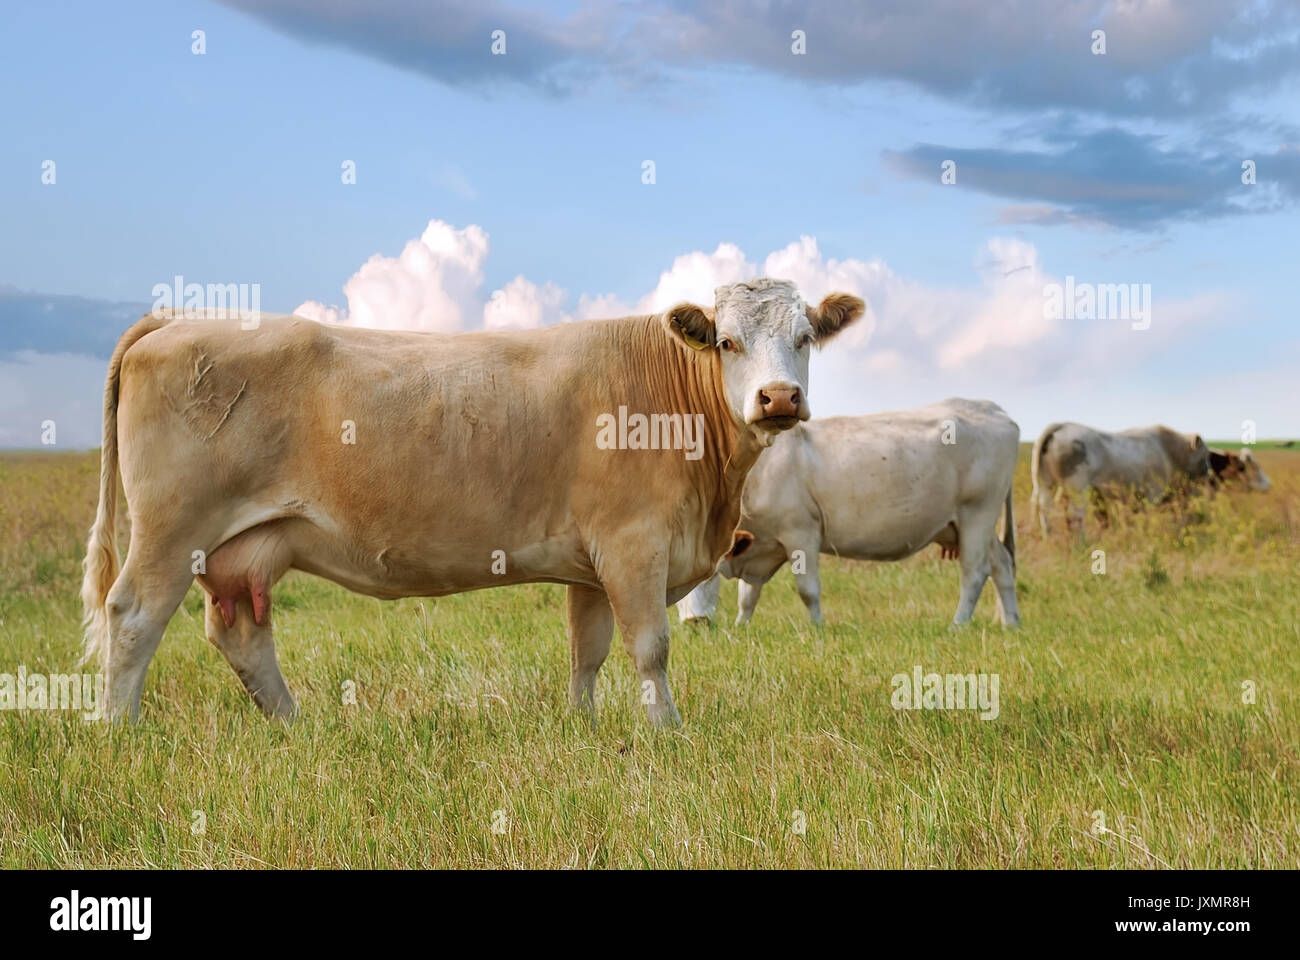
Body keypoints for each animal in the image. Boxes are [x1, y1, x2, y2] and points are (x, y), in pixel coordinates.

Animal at [79, 279, 863, 726]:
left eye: (805, 339)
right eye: (727, 342)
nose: (779, 398)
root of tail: (177, 318)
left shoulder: (592, 561)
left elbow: (587, 652)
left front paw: (584, 728)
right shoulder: (634, 543)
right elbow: (650, 648)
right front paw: (666, 733)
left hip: (245, 547)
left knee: (240, 632)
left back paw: (298, 725)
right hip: (173, 529)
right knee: (132, 617)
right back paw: (122, 732)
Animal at [674, 399, 1021, 628]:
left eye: (704, 577)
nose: (694, 623)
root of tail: (994, 410)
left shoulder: (801, 532)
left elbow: (808, 590)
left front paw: (817, 628)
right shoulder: (760, 539)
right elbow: (748, 595)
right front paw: (741, 628)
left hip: (978, 513)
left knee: (975, 573)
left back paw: (958, 625)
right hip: (969, 523)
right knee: (1002, 564)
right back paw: (1010, 623)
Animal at [1031, 421, 1212, 536]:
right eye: (1205, 455)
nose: (1209, 474)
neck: (1168, 449)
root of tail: (1063, 425)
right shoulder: (1154, 490)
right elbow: (1148, 514)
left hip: (1046, 483)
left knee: (1045, 510)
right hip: (1077, 488)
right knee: (1076, 514)